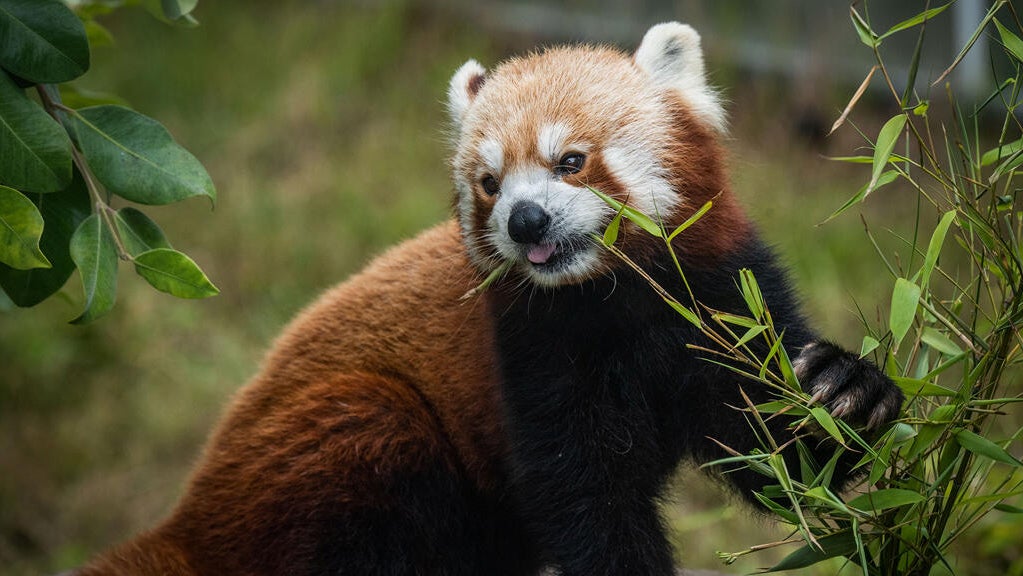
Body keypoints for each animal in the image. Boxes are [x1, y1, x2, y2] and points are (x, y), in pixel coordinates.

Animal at [77, 22, 903, 576]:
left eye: (570, 161)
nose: (524, 220)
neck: (613, 303)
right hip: (346, 438)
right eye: (488, 183)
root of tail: (192, 518)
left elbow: (778, 454)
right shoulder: (530, 353)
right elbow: (585, 499)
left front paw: (848, 389)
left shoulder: (721, 298)